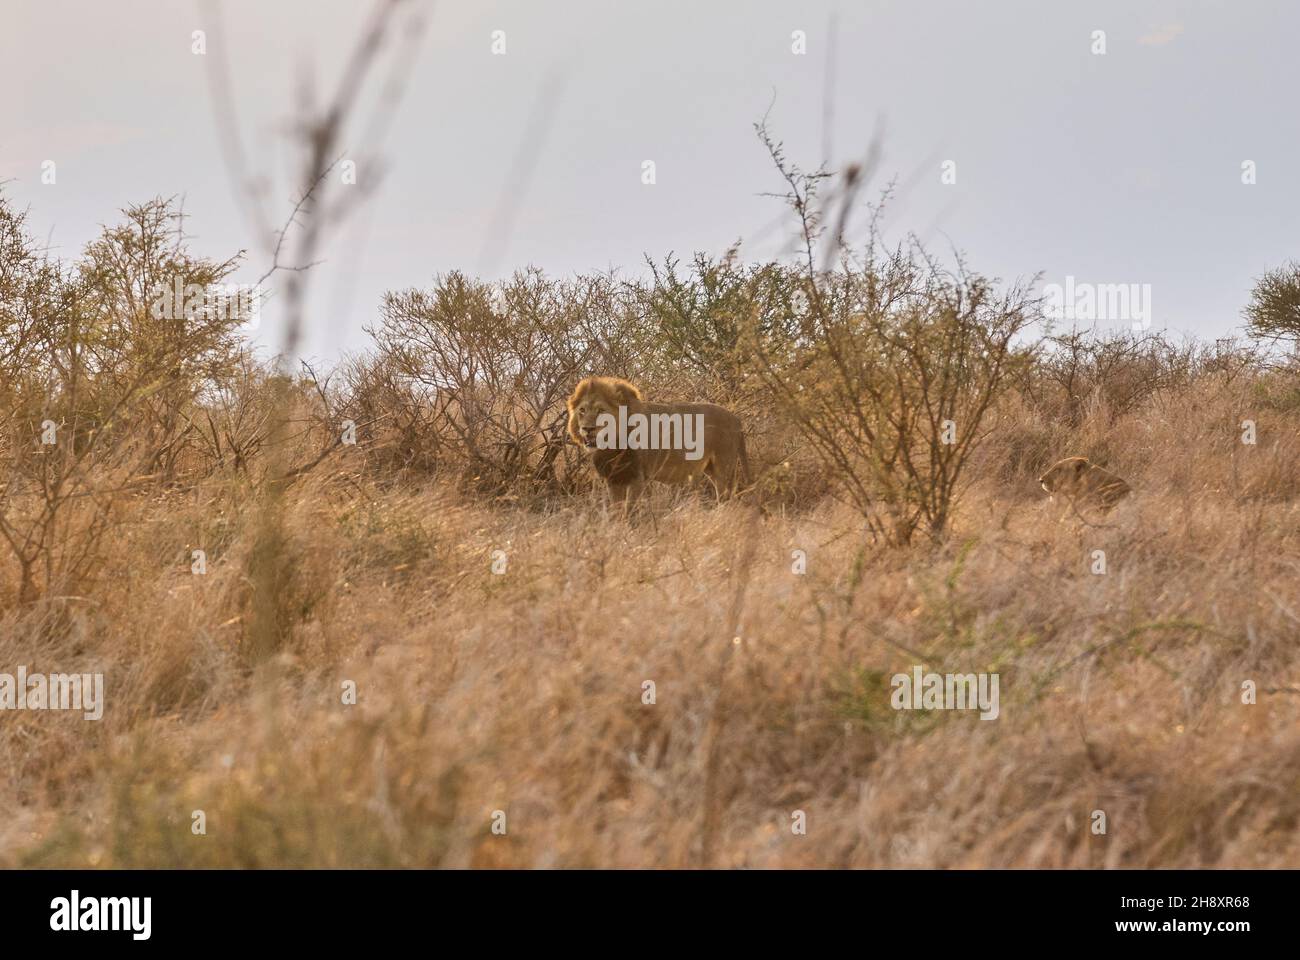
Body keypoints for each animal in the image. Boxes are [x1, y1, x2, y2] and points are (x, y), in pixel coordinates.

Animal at [566, 376, 750, 505]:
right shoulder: (613, 480)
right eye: (582, 410)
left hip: (723, 467)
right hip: (710, 468)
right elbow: (616, 511)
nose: (587, 429)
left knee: (726, 497)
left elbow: (629, 511)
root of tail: (736, 419)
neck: (610, 445)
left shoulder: (637, 477)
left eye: (601, 410)